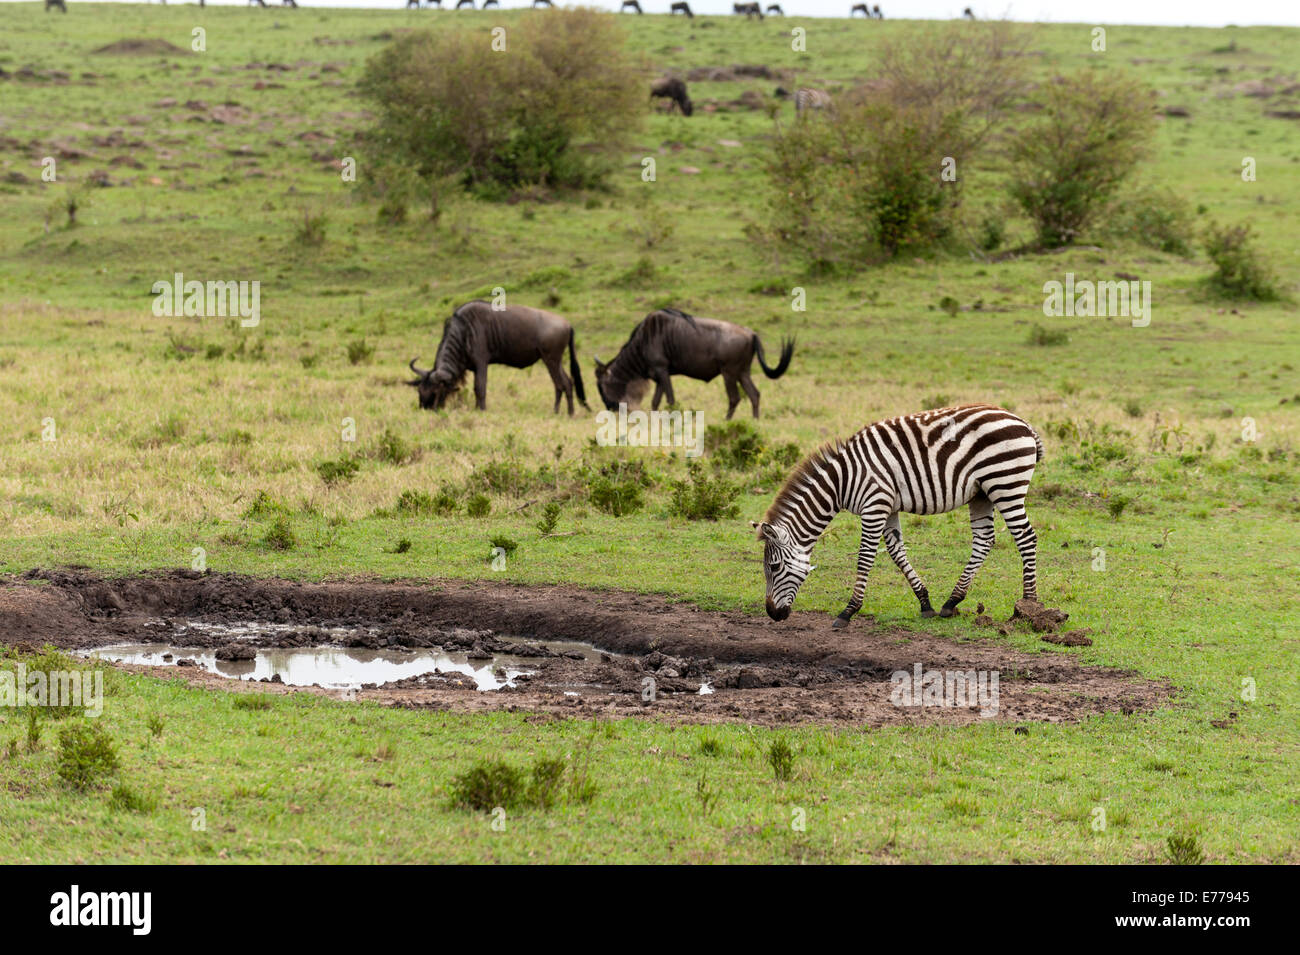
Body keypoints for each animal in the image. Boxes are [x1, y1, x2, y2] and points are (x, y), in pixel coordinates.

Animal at [753, 404, 1044, 629]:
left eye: (774, 567)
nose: (772, 614)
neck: (843, 481)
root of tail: (1024, 423)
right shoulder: (888, 506)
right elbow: (897, 552)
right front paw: (925, 603)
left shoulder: (874, 505)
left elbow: (865, 557)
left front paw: (848, 611)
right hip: (982, 493)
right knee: (984, 541)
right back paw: (952, 601)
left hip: (1005, 483)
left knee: (1025, 537)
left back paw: (1028, 604)